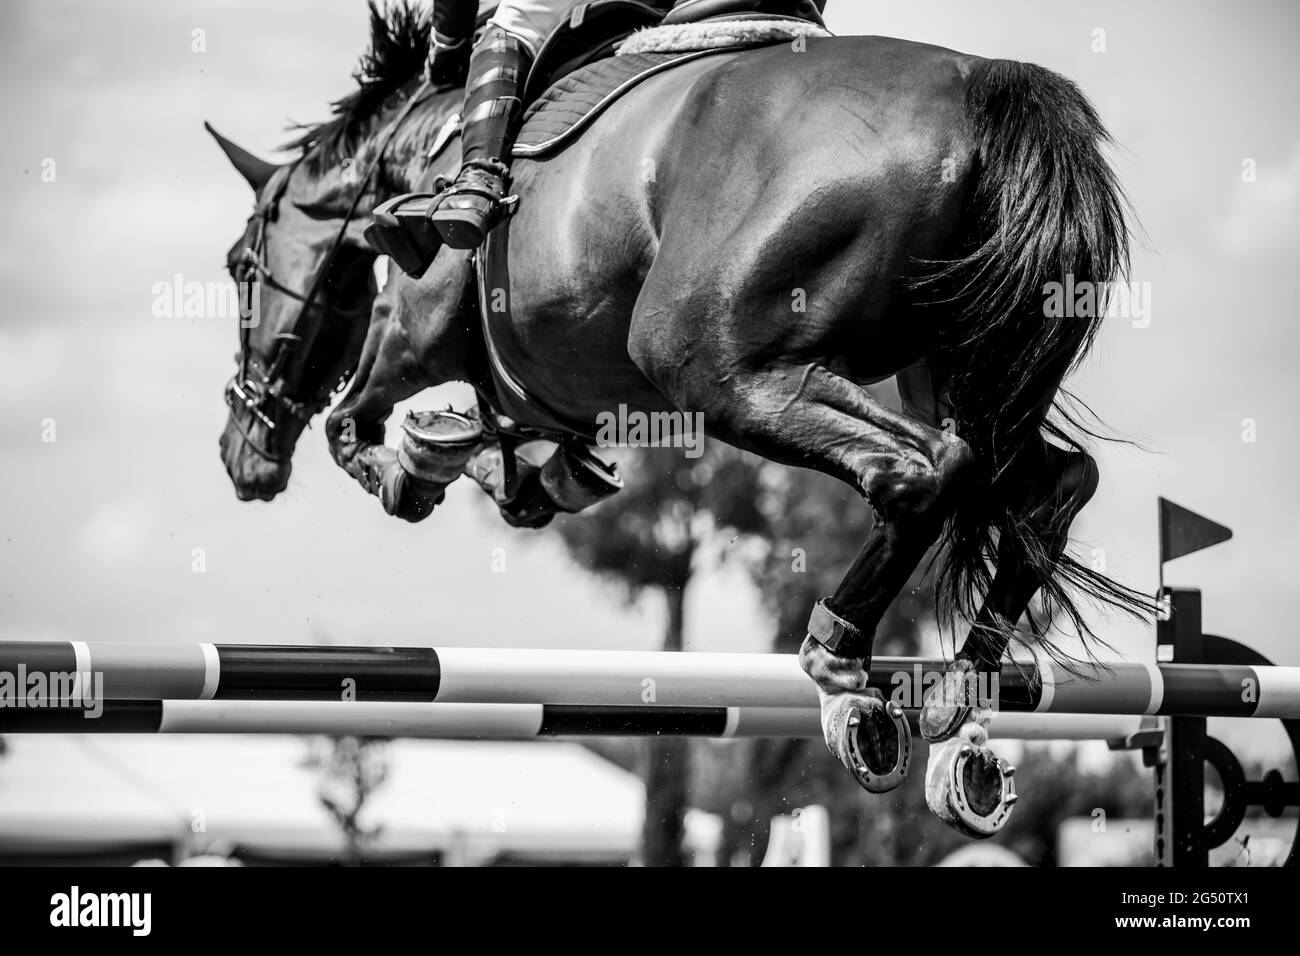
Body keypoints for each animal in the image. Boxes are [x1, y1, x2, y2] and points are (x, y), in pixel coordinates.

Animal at [212, 7, 1152, 837]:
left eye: (241, 266)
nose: (240, 455)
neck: (420, 151)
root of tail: (985, 87)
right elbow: (522, 458)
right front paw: (524, 470)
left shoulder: (409, 332)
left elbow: (351, 428)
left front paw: (417, 463)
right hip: (960, 377)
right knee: (1050, 483)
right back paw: (965, 700)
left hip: (714, 364)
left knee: (920, 472)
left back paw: (844, 673)